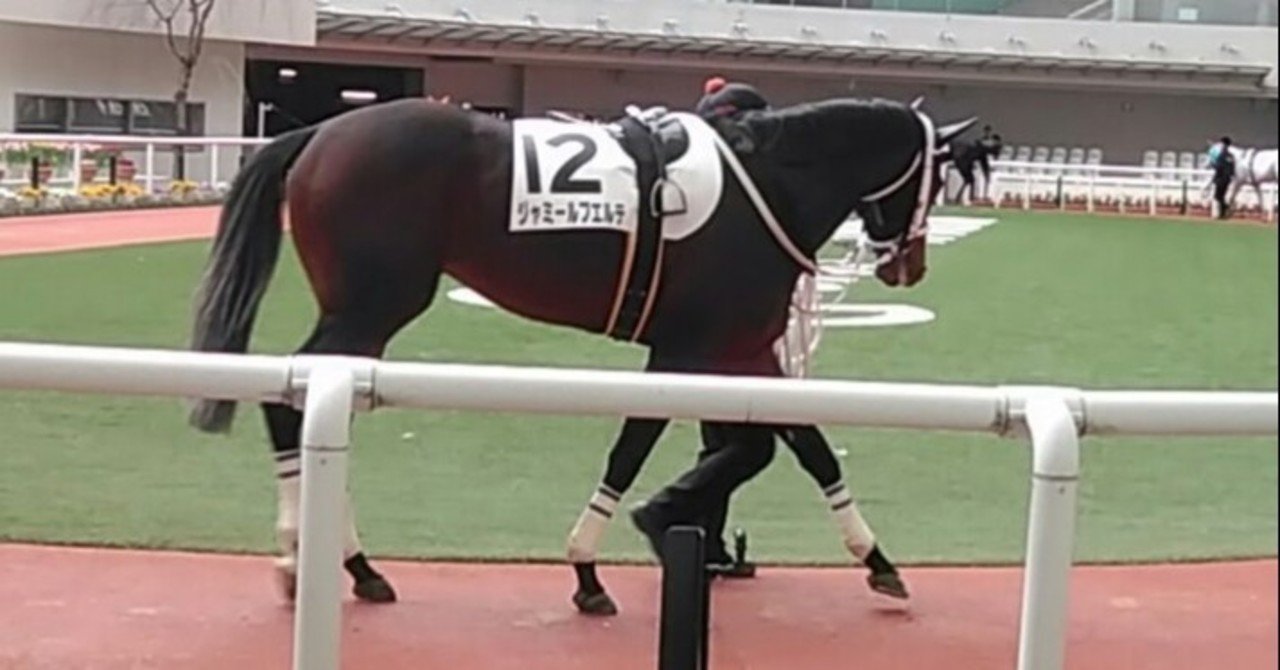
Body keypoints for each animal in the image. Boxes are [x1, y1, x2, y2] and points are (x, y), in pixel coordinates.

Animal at [185, 94, 975, 611]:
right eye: (938, 176)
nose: (909, 266)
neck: (769, 183)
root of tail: (319, 133)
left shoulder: (744, 347)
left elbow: (804, 446)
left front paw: (877, 559)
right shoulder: (686, 348)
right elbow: (634, 446)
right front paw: (590, 567)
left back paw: (347, 563)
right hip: (370, 306)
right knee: (292, 402)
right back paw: (325, 559)